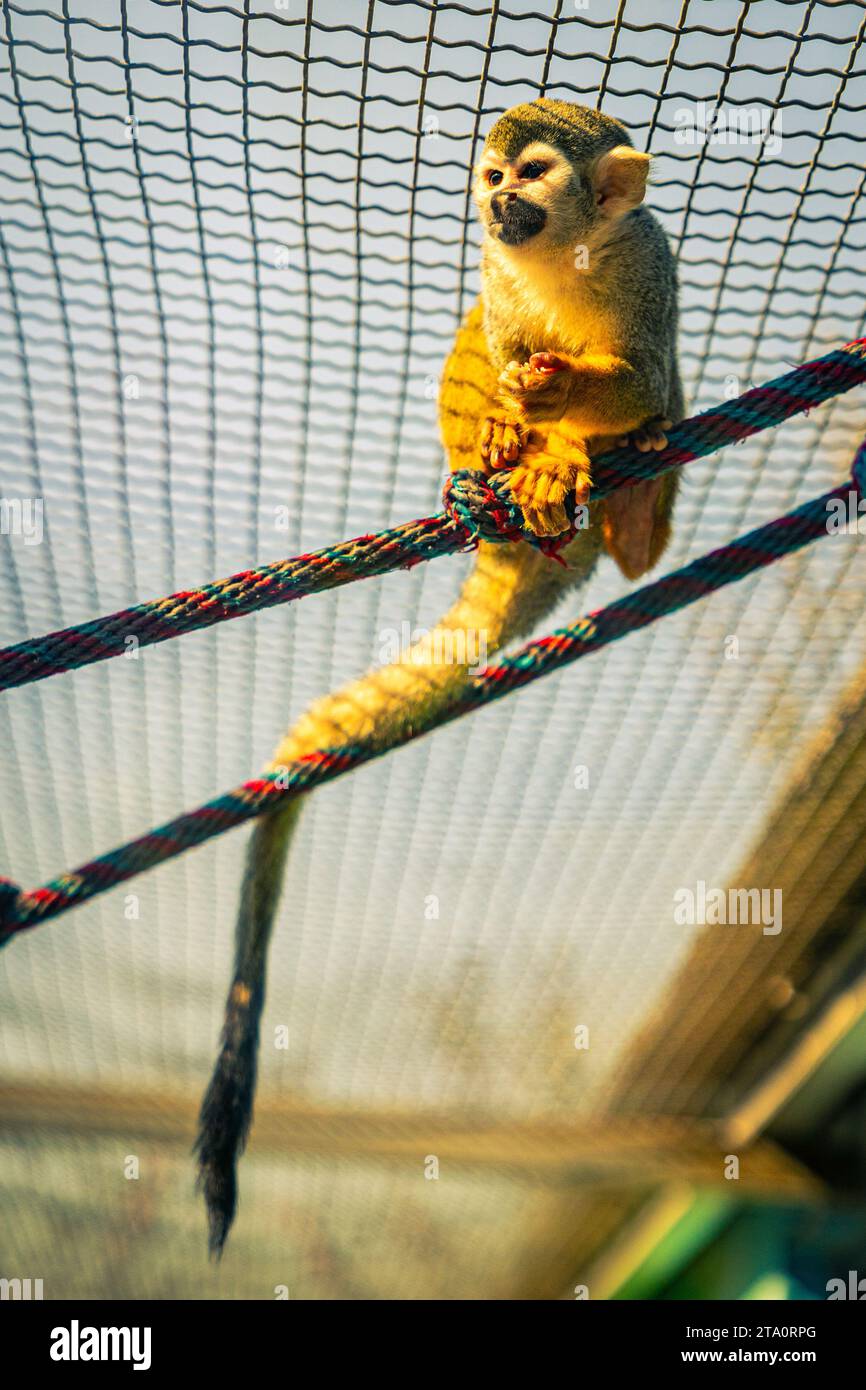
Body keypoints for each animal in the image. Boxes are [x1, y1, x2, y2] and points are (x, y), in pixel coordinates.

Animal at [195, 98, 684, 1255]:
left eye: (535, 175)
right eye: (493, 177)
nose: (499, 202)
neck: (562, 257)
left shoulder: (647, 264)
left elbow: (640, 372)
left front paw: (567, 404)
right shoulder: (495, 274)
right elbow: (488, 338)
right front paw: (514, 421)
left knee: (651, 415)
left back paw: (627, 512)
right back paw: (501, 470)